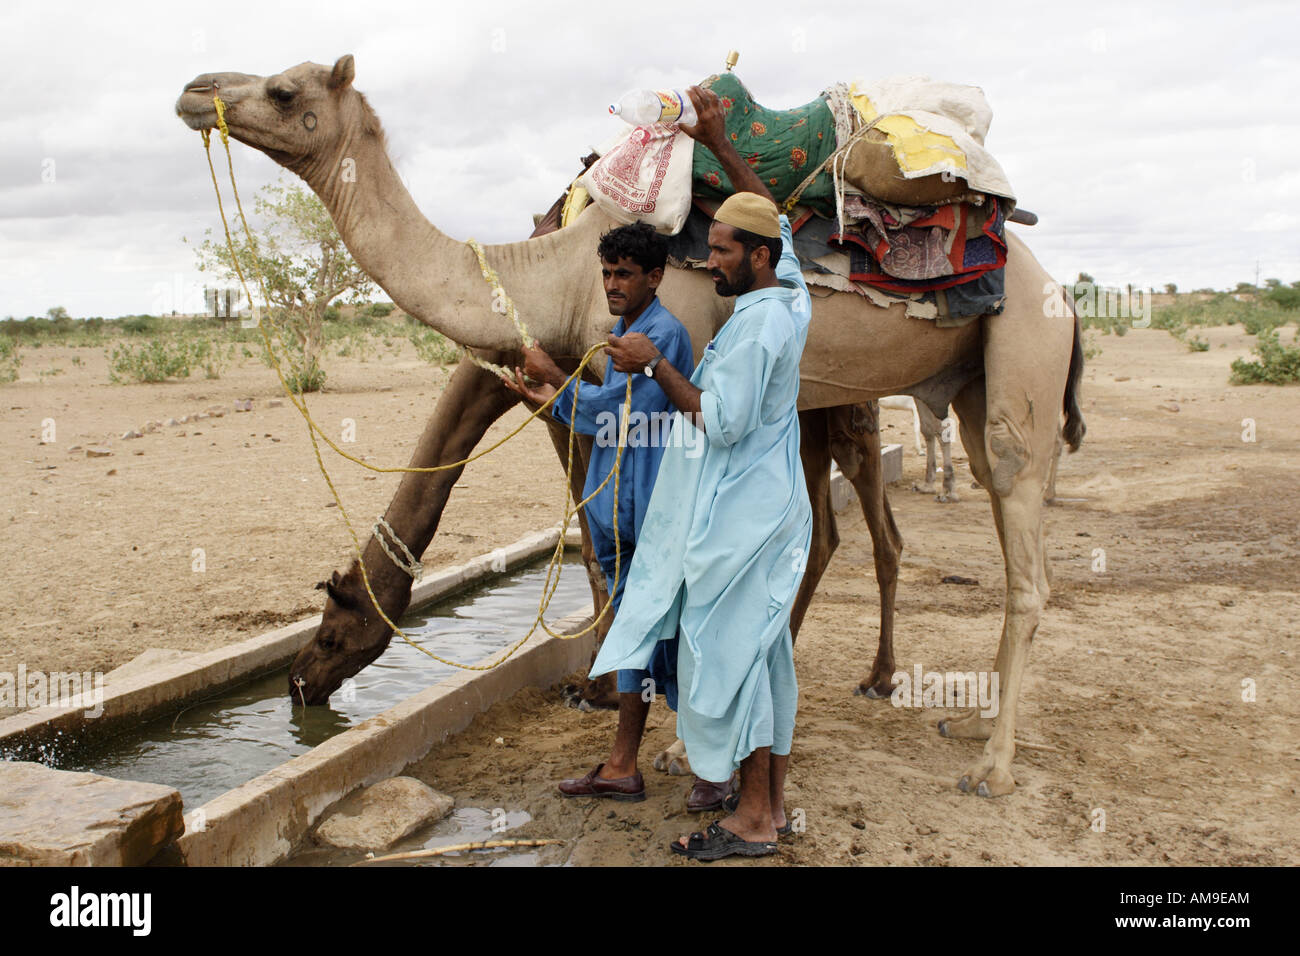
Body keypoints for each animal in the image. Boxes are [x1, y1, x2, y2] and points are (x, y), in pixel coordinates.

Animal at [175, 55, 1084, 796]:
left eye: (284, 91)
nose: (298, 684)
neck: (554, 273)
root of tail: (1061, 289)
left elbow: (633, 554)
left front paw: (637, 713)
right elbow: (609, 547)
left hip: (1018, 357)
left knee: (1018, 552)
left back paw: (990, 766)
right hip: (951, 385)